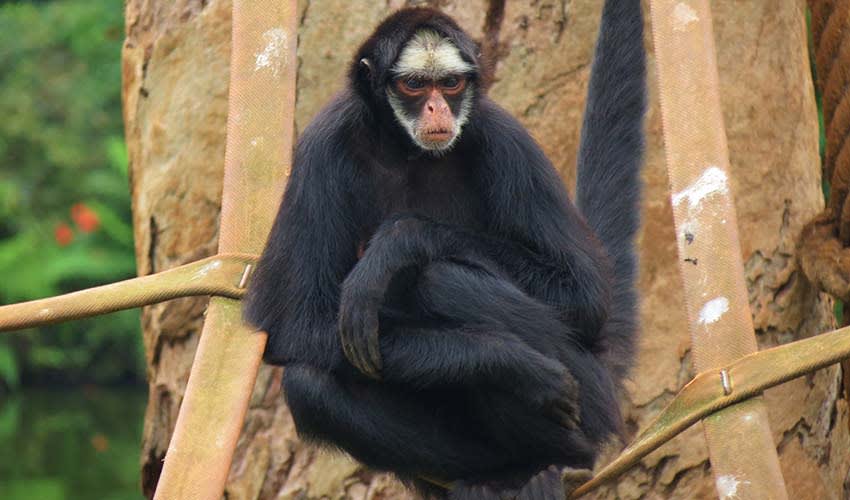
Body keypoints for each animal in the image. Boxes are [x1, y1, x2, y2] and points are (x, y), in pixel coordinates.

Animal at [244, 1, 645, 498]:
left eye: (450, 83)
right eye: (415, 85)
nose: (437, 107)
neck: (408, 152)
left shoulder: (501, 134)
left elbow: (586, 296)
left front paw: (401, 241)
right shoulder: (323, 146)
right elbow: (299, 327)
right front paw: (507, 361)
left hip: (590, 396)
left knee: (443, 277)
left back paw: (558, 462)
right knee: (309, 383)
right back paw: (499, 472)